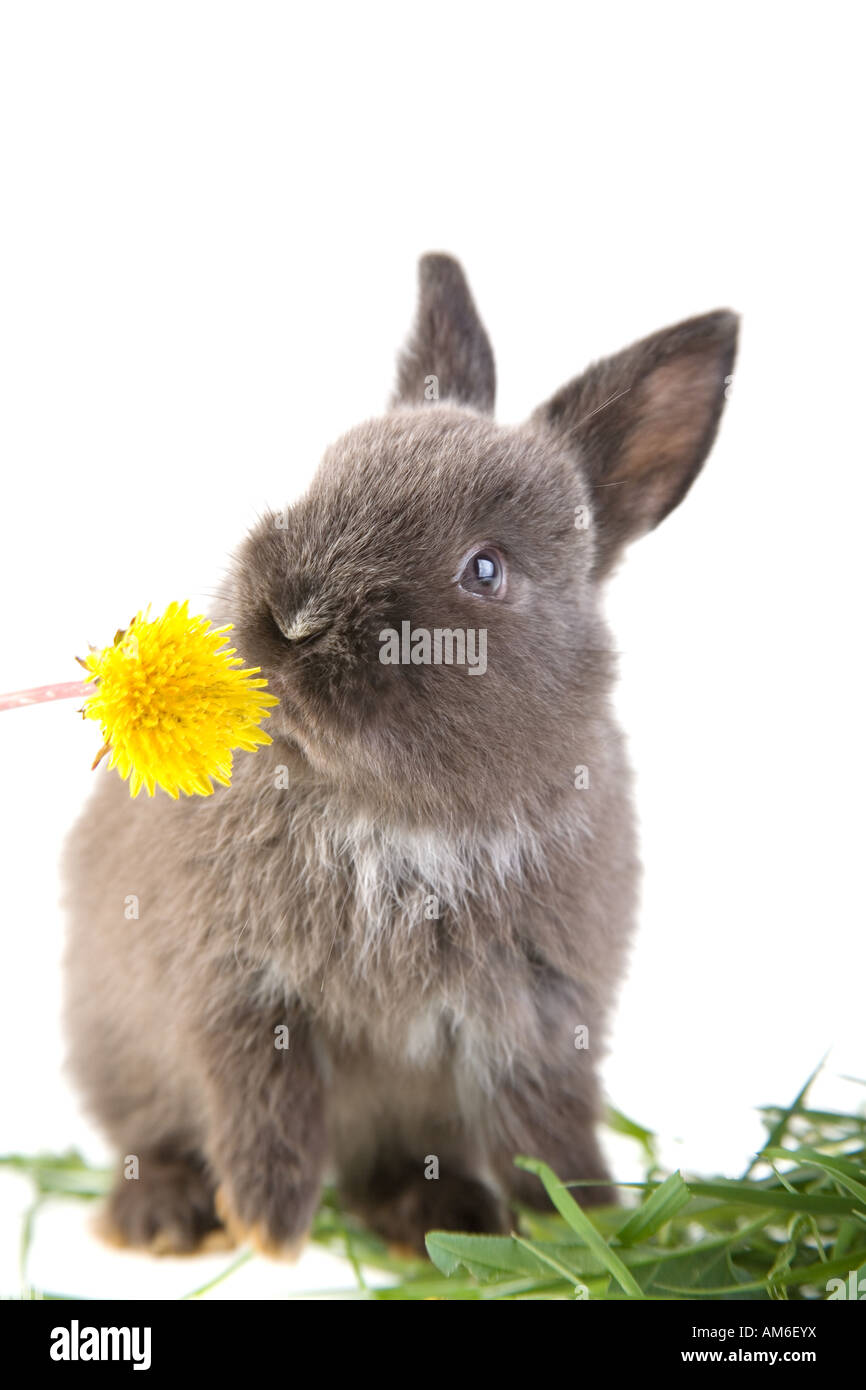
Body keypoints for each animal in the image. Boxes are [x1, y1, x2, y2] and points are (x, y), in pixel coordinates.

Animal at [62, 254, 738, 1258]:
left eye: (486, 570)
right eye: (328, 473)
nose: (294, 616)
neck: (395, 816)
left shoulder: (535, 1019)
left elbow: (541, 1125)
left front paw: (582, 1229)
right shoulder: (236, 989)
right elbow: (261, 1100)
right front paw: (267, 1228)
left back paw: (431, 1223)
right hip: (117, 1038)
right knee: (155, 1134)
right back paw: (168, 1220)